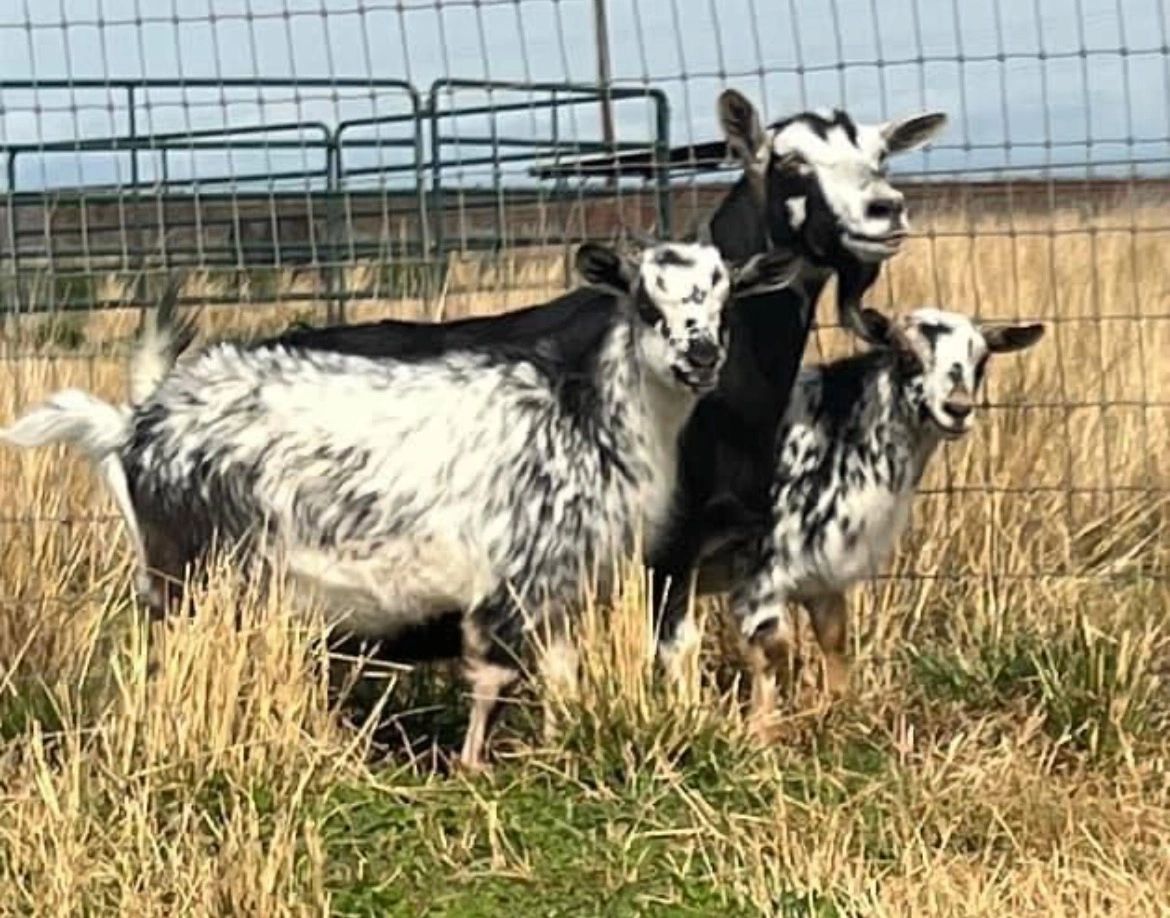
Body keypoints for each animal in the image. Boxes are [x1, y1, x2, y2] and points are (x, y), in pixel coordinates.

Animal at [1, 239, 799, 768]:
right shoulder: (510, 583)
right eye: (644, 300)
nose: (701, 357)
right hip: (197, 581)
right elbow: (491, 675)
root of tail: (137, 425)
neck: (584, 421)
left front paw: (562, 741)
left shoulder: (556, 590)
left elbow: (563, 677)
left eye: (725, 300)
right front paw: (476, 766)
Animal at [716, 307, 1044, 726]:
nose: (957, 409)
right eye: (906, 355)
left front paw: (842, 719)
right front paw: (760, 733)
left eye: (982, 360)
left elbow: (834, 638)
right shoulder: (760, 573)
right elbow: (772, 651)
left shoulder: (822, 574)